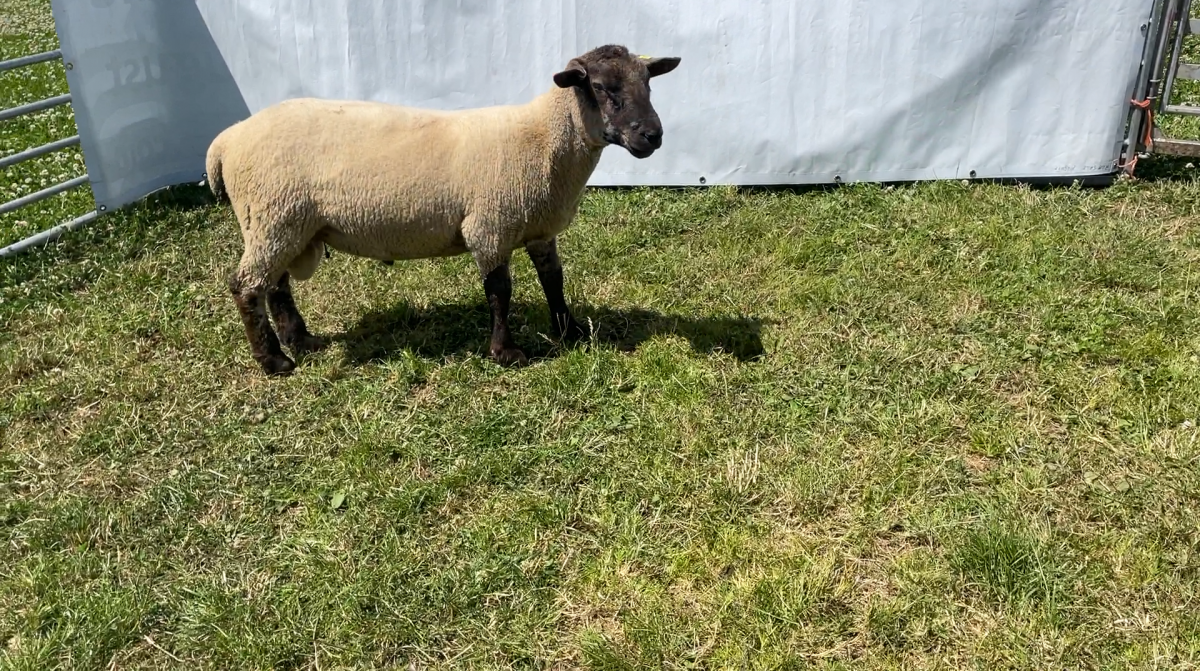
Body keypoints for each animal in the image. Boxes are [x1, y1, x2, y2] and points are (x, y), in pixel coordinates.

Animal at [205, 44, 681, 376]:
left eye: (648, 83)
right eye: (600, 87)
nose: (653, 135)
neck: (544, 138)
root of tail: (226, 141)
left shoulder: (540, 228)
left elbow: (553, 279)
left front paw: (570, 331)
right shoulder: (490, 225)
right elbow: (500, 292)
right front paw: (506, 352)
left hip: (283, 222)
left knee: (276, 285)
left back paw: (301, 341)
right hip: (274, 215)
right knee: (246, 286)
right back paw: (274, 361)